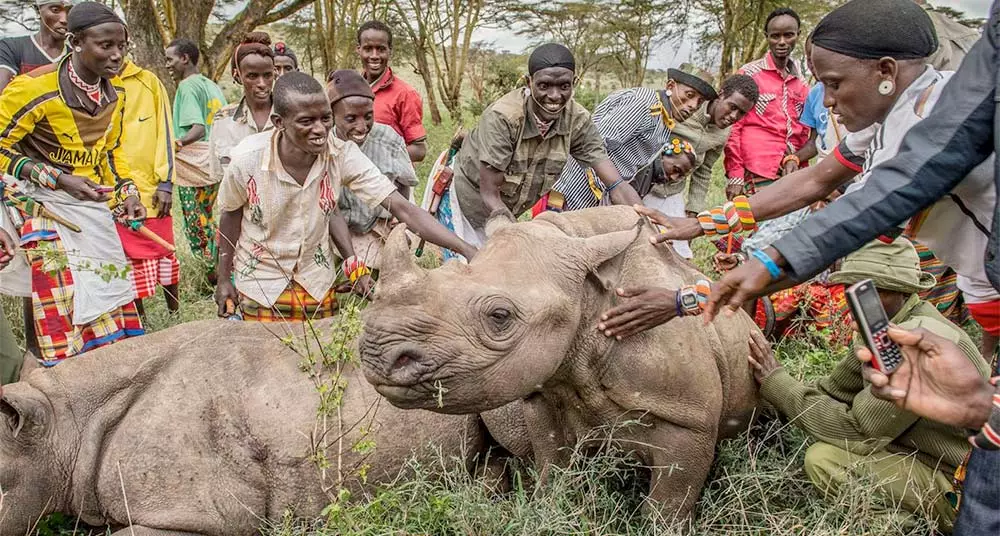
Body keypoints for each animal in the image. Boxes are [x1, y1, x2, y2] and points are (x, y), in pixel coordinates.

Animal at [364, 207, 760, 520]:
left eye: (500, 316)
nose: (375, 353)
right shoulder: (542, 394)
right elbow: (552, 467)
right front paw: (548, 509)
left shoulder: (689, 418)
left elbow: (669, 502)